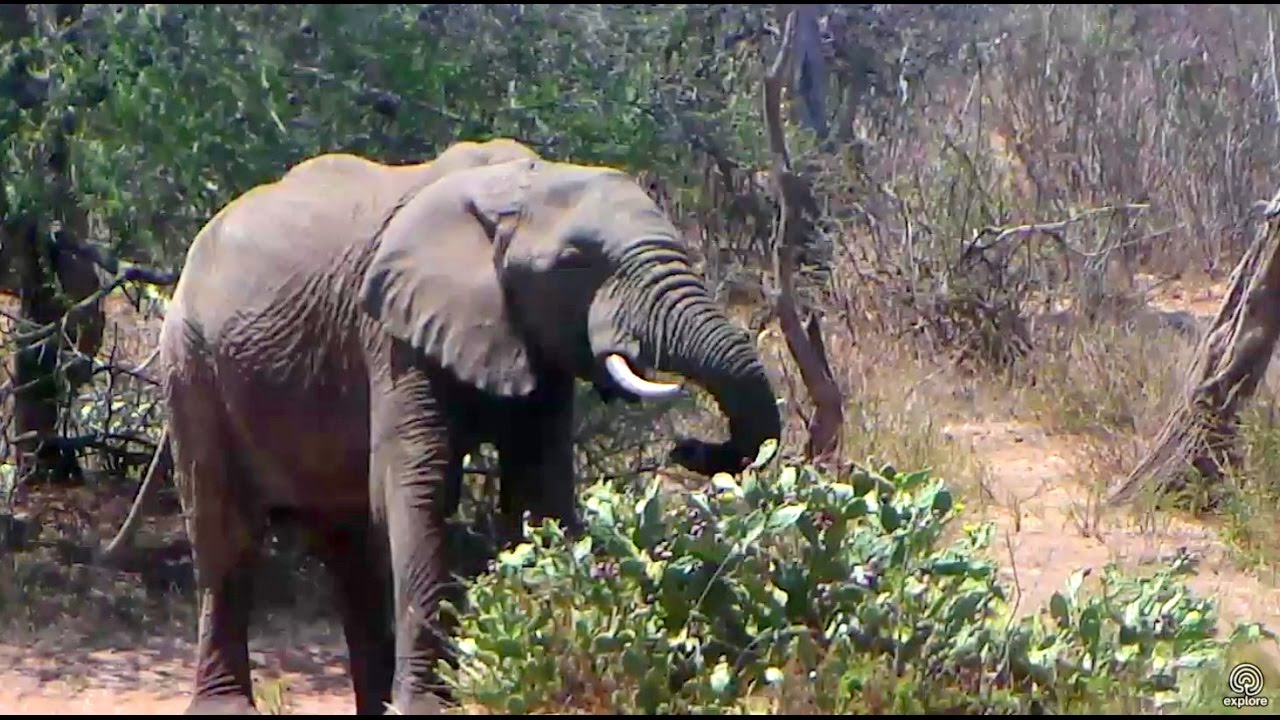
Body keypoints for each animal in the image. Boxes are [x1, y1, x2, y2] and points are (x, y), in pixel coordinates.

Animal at [101, 137, 782, 715]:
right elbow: (419, 487)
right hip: (191, 364)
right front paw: (429, 707)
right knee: (227, 532)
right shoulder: (389, 333)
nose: (690, 446)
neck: (518, 184)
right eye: (575, 262)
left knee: (345, 548)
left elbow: (538, 489)